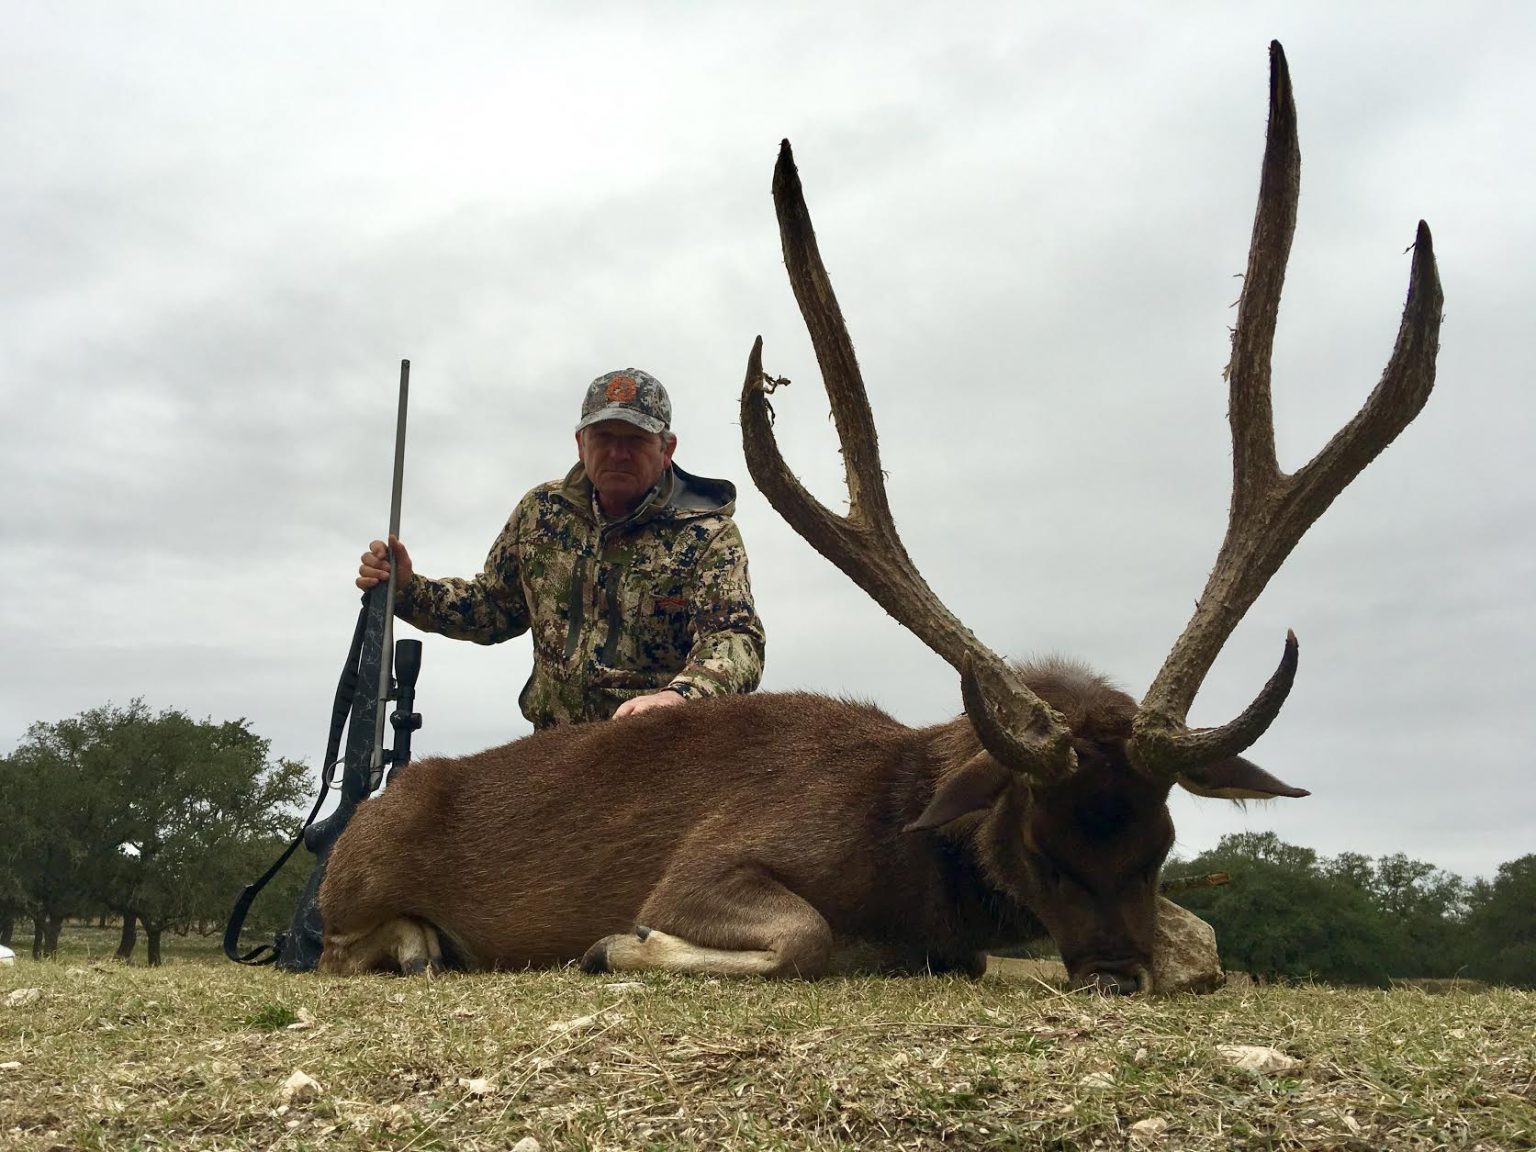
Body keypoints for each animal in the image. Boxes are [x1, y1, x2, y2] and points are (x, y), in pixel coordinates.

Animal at [316, 42, 1441, 993]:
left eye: (1162, 846)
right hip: (352, 890)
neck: (908, 839)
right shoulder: (708, 863)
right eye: (1041, 844)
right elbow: (804, 937)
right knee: (344, 946)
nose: (1120, 976)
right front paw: (613, 944)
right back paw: (421, 943)